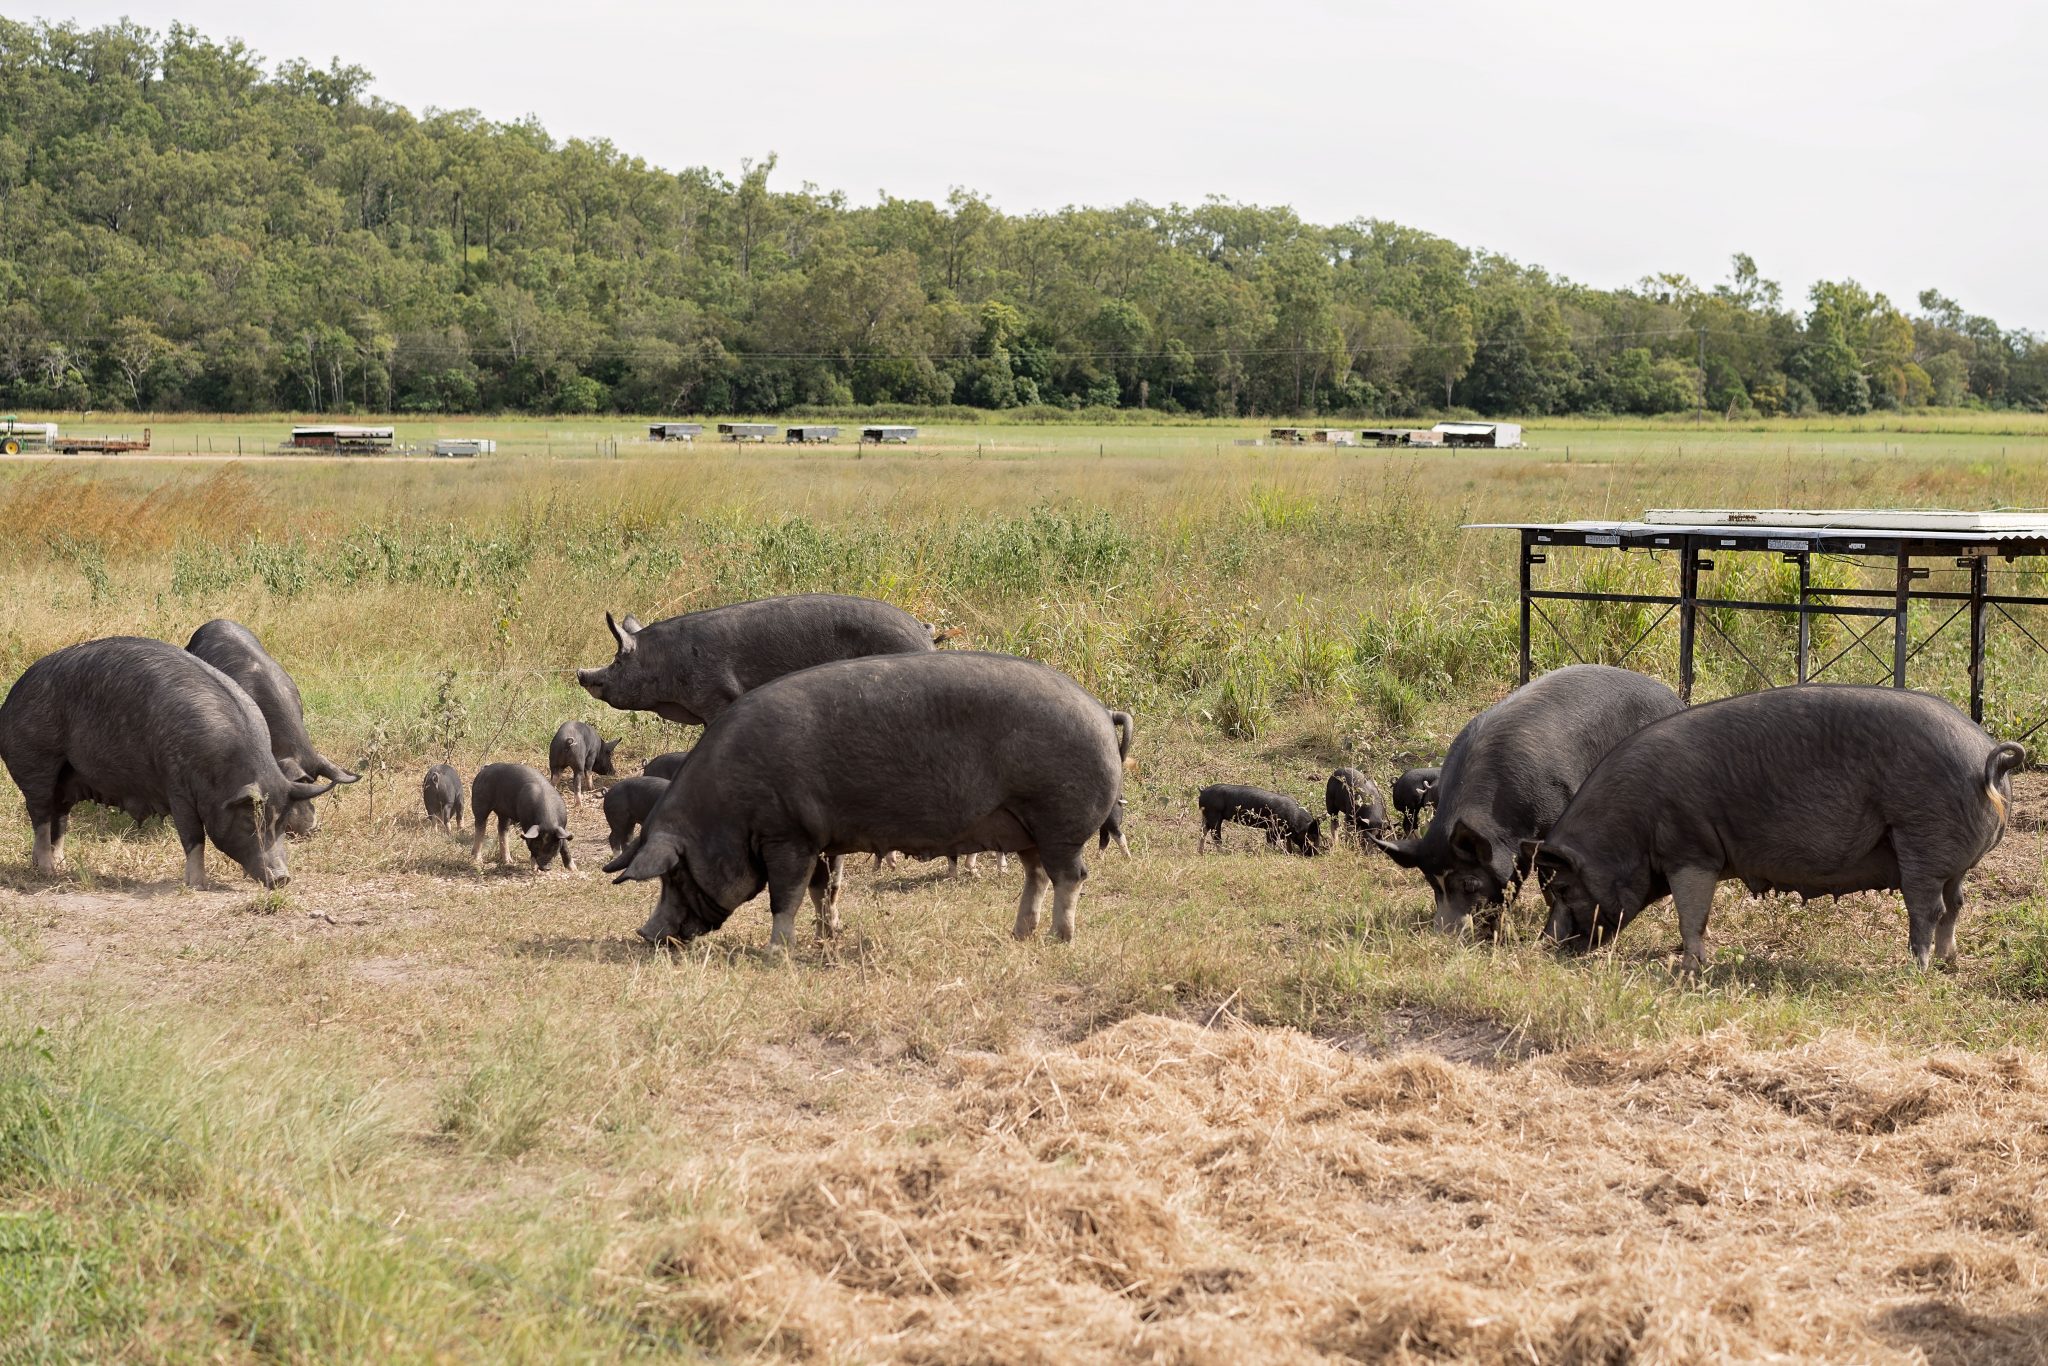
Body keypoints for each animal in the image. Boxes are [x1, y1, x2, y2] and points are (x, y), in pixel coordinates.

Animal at [0, 637, 333, 888]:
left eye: (280, 823)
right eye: (249, 821)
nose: (282, 878)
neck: (221, 770)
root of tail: (12, 698)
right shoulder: (178, 786)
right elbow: (193, 835)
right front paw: (197, 885)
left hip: (68, 775)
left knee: (60, 816)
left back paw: (60, 864)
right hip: (36, 761)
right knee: (41, 815)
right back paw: (47, 870)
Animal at [607, 652, 1128, 947]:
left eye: (675, 874)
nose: (644, 933)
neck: (726, 811)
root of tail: (1102, 710)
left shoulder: (786, 835)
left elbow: (785, 895)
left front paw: (778, 952)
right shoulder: (813, 838)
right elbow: (819, 888)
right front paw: (827, 935)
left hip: (1059, 819)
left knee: (1071, 876)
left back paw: (1060, 940)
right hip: (1025, 827)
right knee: (1037, 875)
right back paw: (1020, 935)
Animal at [1532, 685, 2026, 971]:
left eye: (1561, 888)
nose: (1543, 945)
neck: (1629, 830)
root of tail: (1987, 754)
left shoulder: (1690, 849)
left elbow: (1692, 915)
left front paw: (1689, 969)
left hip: (1921, 838)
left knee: (1929, 908)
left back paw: (1915, 968)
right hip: (1952, 860)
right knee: (1956, 903)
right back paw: (1948, 962)